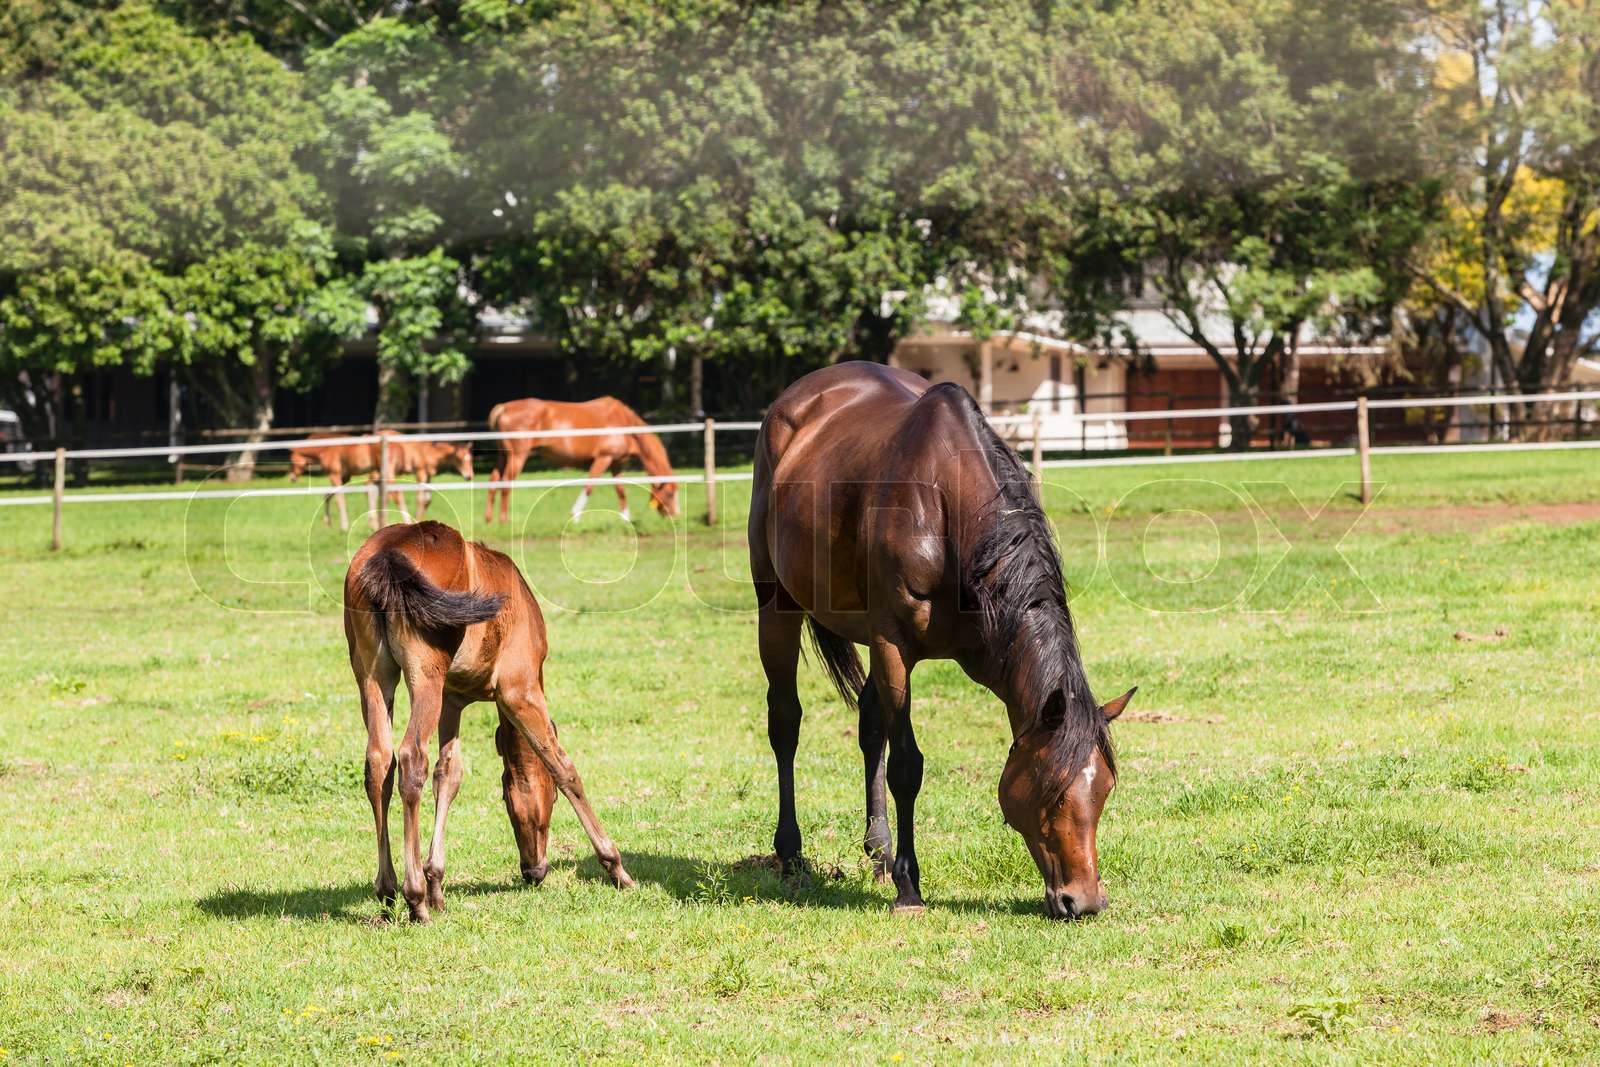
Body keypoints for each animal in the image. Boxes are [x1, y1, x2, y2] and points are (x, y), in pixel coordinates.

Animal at [289, 432, 473, 530]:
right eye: (461, 459)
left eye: (291, 460)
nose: (469, 476)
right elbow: (330, 496)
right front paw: (331, 523)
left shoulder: (337, 475)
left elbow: (337, 498)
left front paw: (341, 525)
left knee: (388, 492)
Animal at [344, 519, 634, 922]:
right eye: (549, 799)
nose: (533, 871)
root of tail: (389, 554)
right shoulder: (519, 691)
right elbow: (562, 767)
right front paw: (616, 866)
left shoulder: (453, 700)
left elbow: (449, 775)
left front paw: (437, 884)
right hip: (425, 676)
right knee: (410, 760)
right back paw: (414, 898)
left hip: (373, 675)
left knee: (379, 763)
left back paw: (388, 891)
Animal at [482, 397, 679, 524]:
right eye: (669, 493)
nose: (676, 516)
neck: (624, 423)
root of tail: (504, 407)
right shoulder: (603, 458)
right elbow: (589, 486)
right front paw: (575, 515)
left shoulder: (616, 463)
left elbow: (620, 490)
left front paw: (625, 518)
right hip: (517, 456)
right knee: (506, 483)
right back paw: (504, 520)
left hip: (503, 455)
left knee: (494, 480)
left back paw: (489, 519)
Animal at [748, 362, 1136, 920]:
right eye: (1054, 791)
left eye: (1104, 790)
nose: (1082, 901)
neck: (944, 505)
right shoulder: (892, 645)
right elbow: (907, 765)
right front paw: (909, 888)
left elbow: (882, 737)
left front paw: (894, 866)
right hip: (776, 606)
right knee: (786, 722)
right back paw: (791, 853)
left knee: (870, 727)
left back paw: (879, 851)